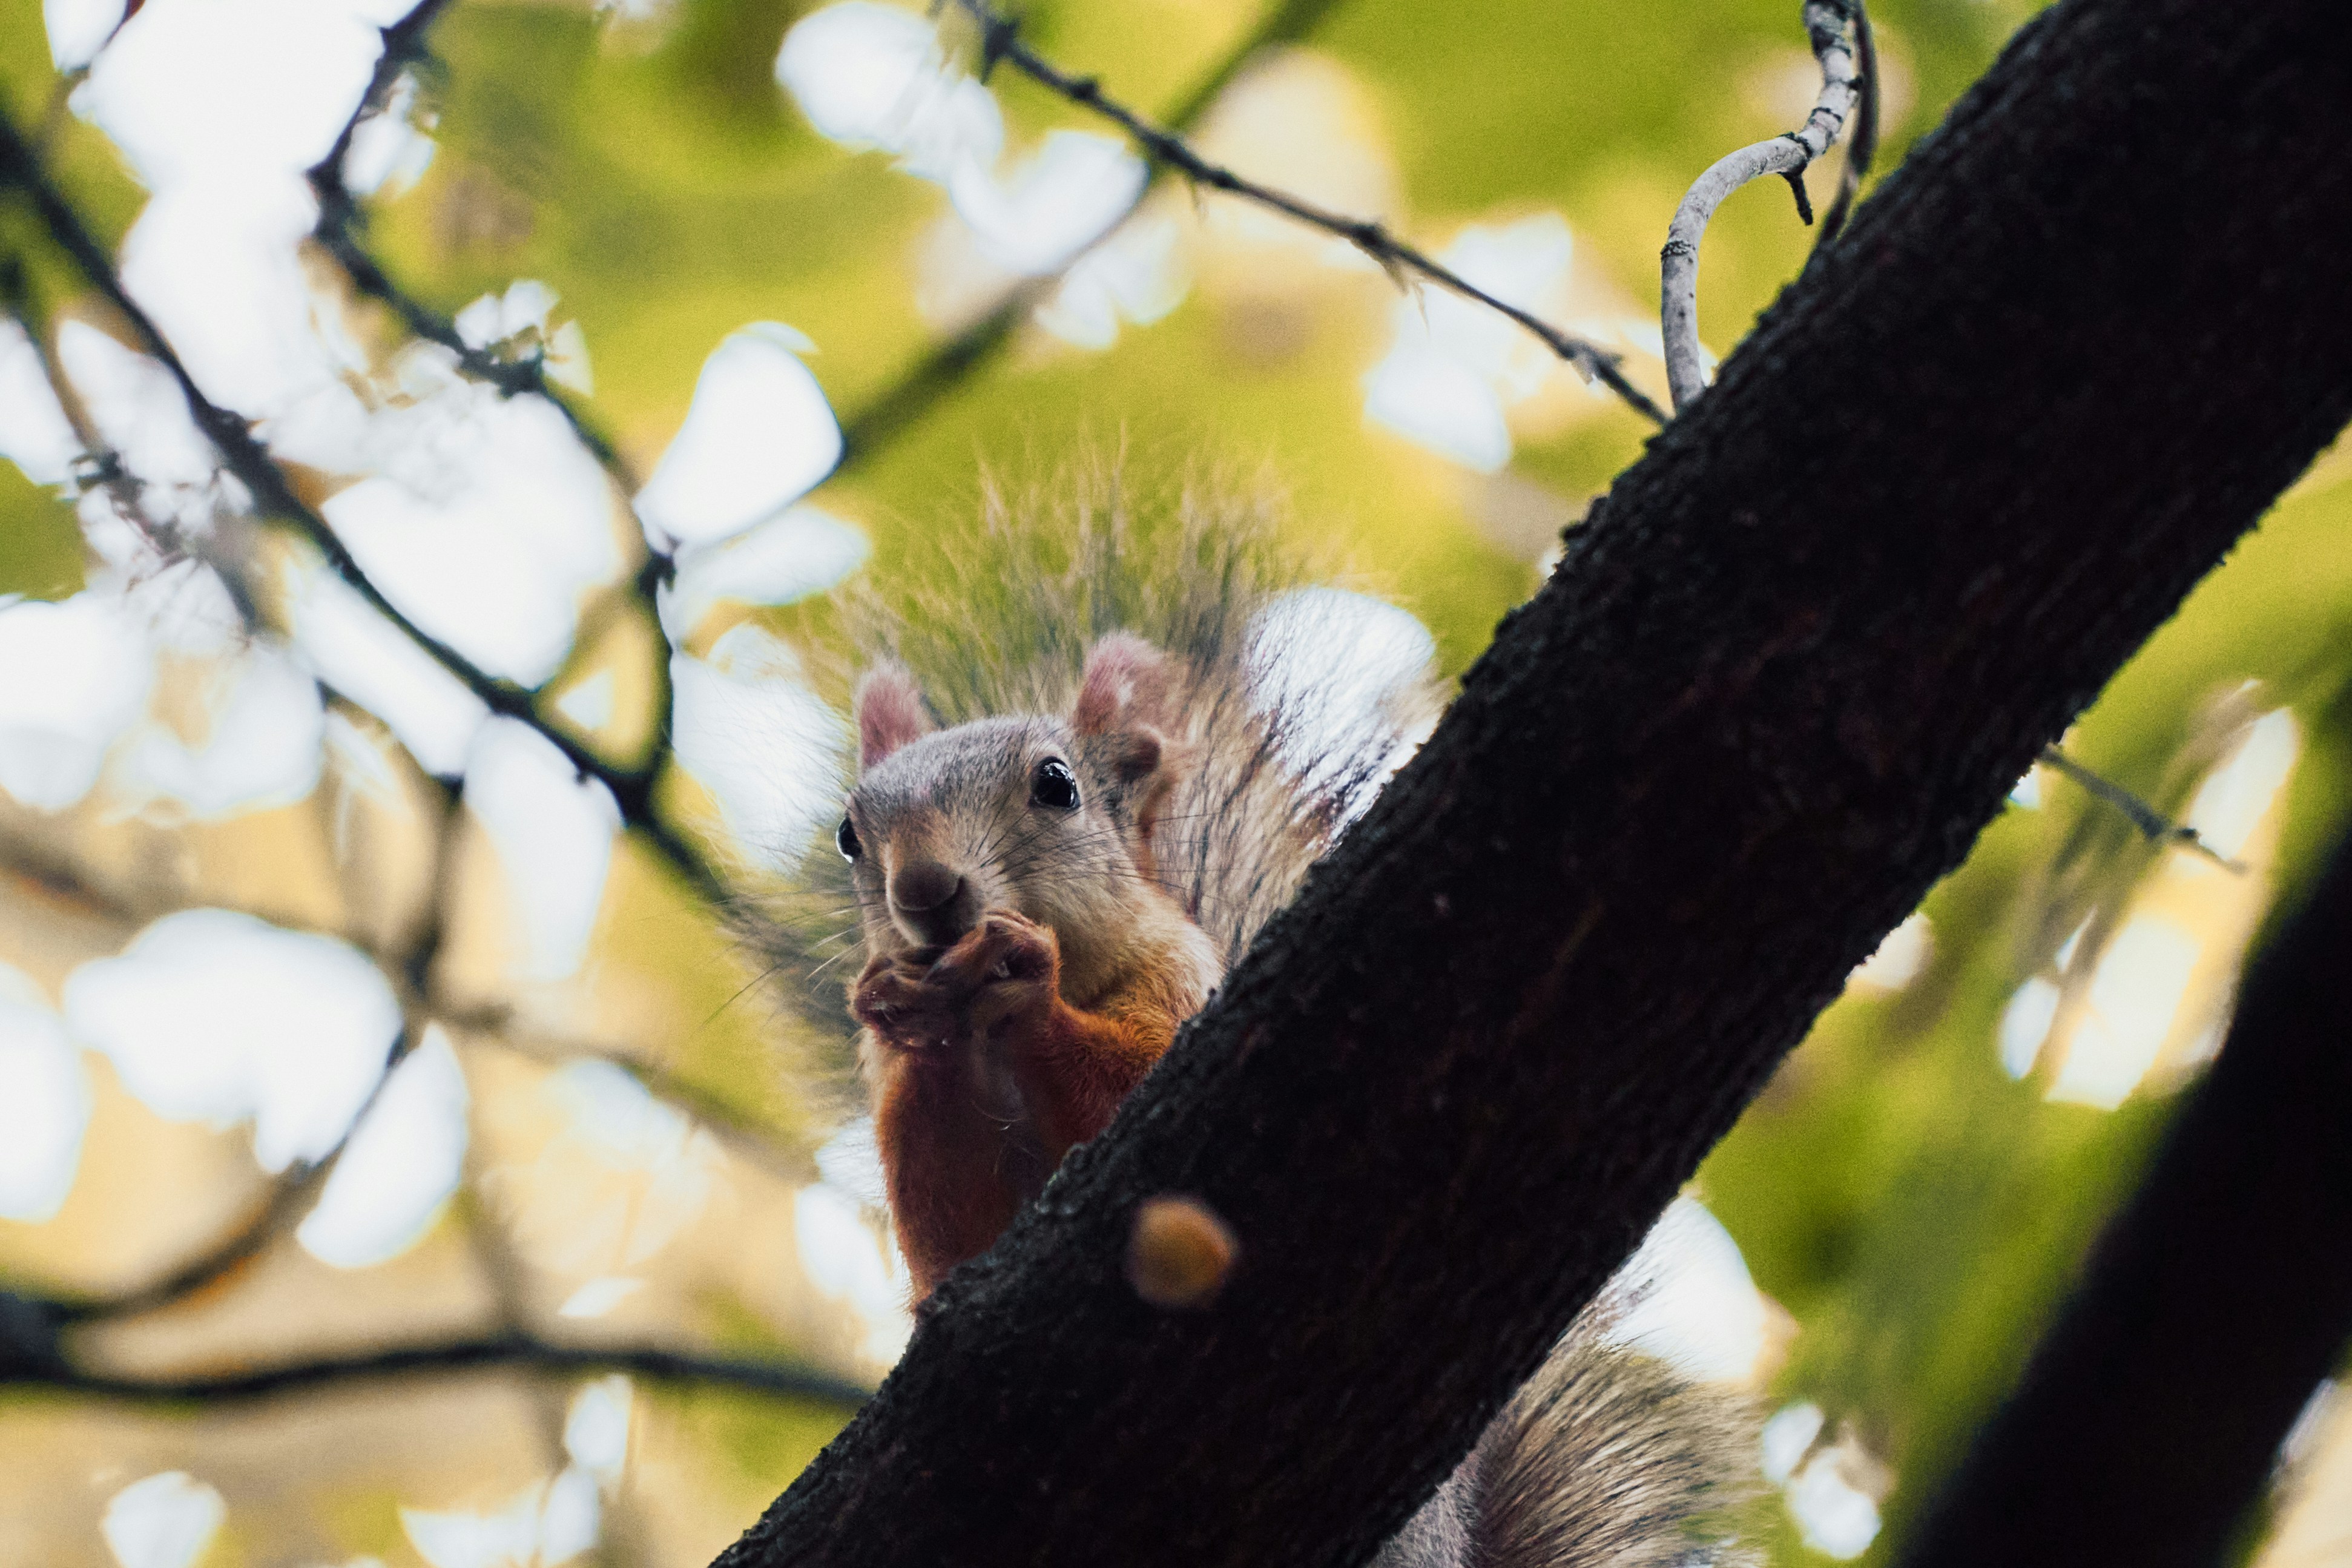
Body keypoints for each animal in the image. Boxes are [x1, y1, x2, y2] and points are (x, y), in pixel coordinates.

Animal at [754, 484, 1756, 1568]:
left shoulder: (1183, 991)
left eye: (1057, 785)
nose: (926, 892)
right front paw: (904, 1006)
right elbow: (949, 1217)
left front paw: (1029, 980)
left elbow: (1123, 1082)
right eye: (850, 835)